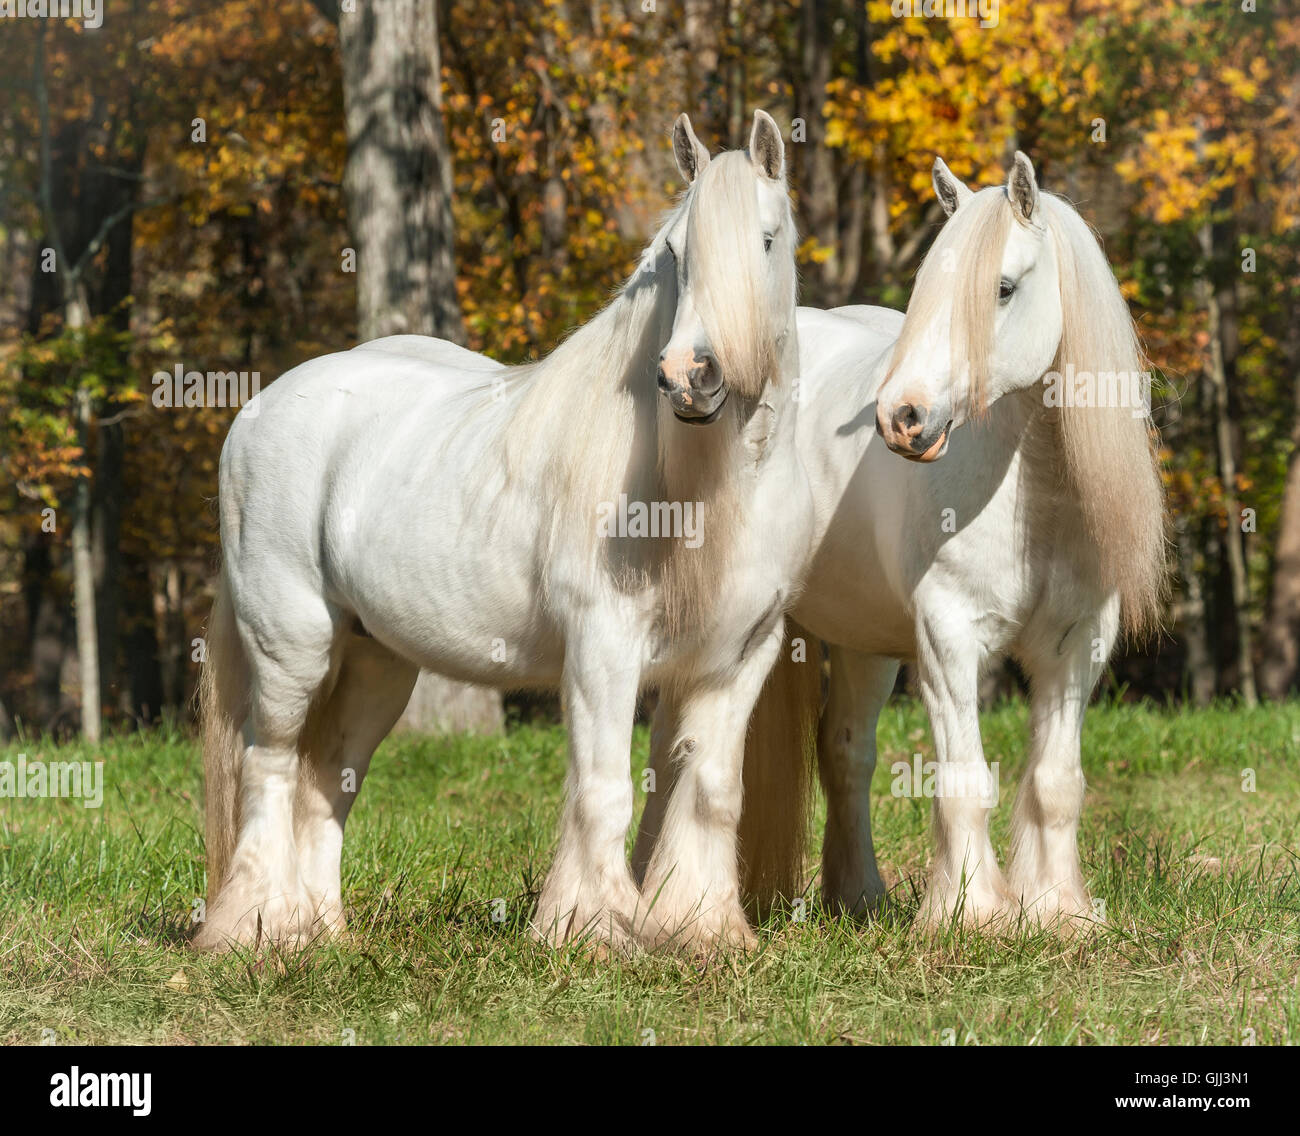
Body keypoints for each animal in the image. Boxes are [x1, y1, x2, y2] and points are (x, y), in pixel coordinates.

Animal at [193, 109, 813, 954]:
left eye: (768, 238)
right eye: (676, 254)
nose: (691, 377)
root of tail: (257, 411)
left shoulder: (739, 655)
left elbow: (713, 791)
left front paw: (704, 929)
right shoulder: (602, 649)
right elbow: (604, 790)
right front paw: (591, 933)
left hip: (376, 664)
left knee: (327, 781)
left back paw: (322, 935)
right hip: (292, 646)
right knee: (271, 765)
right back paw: (254, 932)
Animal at [638, 151, 1167, 934]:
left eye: (1002, 288)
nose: (903, 417)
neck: (1030, 495)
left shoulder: (1078, 645)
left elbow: (1055, 782)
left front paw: (1056, 911)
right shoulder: (948, 641)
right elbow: (965, 781)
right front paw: (971, 913)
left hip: (863, 642)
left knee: (846, 754)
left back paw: (860, 898)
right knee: (672, 744)